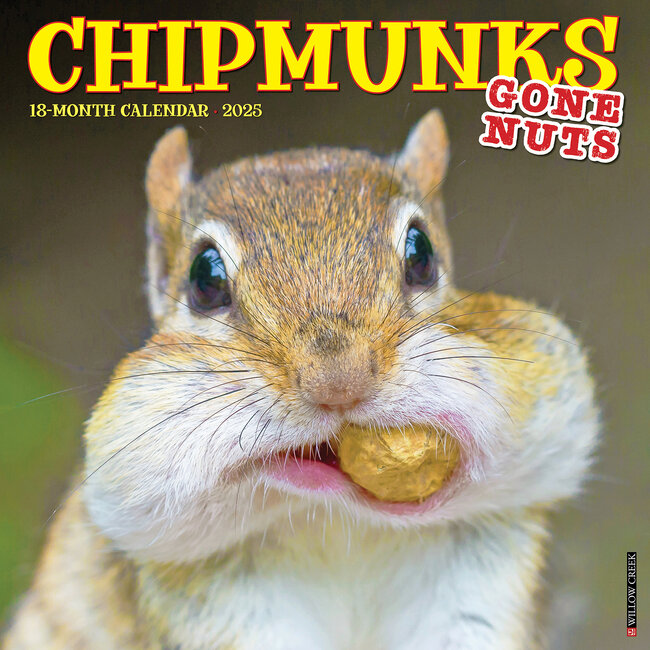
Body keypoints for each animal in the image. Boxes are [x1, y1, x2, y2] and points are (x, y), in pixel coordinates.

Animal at [3, 110, 598, 649]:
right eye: (204, 277)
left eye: (421, 252)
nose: (339, 382)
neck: (340, 526)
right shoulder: (213, 596)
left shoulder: (484, 571)